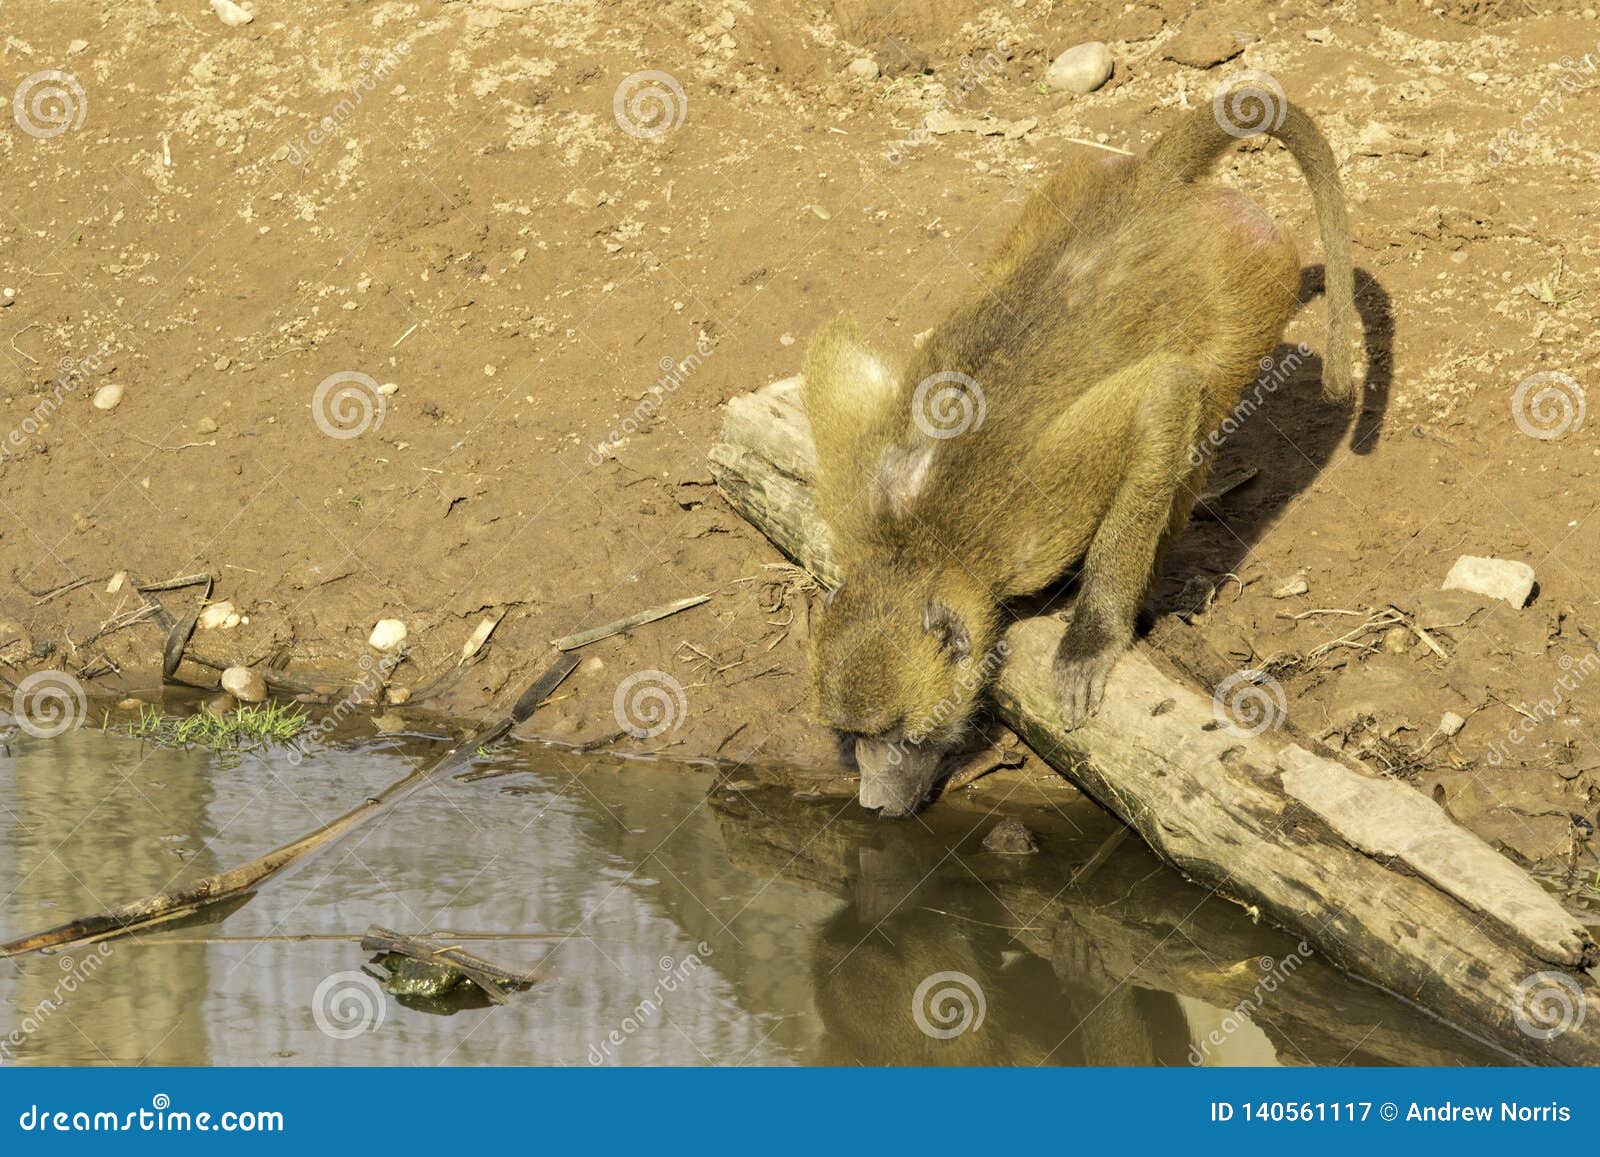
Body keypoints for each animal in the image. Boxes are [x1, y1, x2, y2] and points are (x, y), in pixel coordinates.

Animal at [803, 89, 1357, 815]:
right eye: (853, 736)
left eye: (900, 735)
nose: (873, 801)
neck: (915, 551)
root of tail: (1150, 186)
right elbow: (830, 343)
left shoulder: (1035, 526)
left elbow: (1162, 394)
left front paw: (1095, 636)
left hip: (1250, 276)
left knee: (1197, 407)